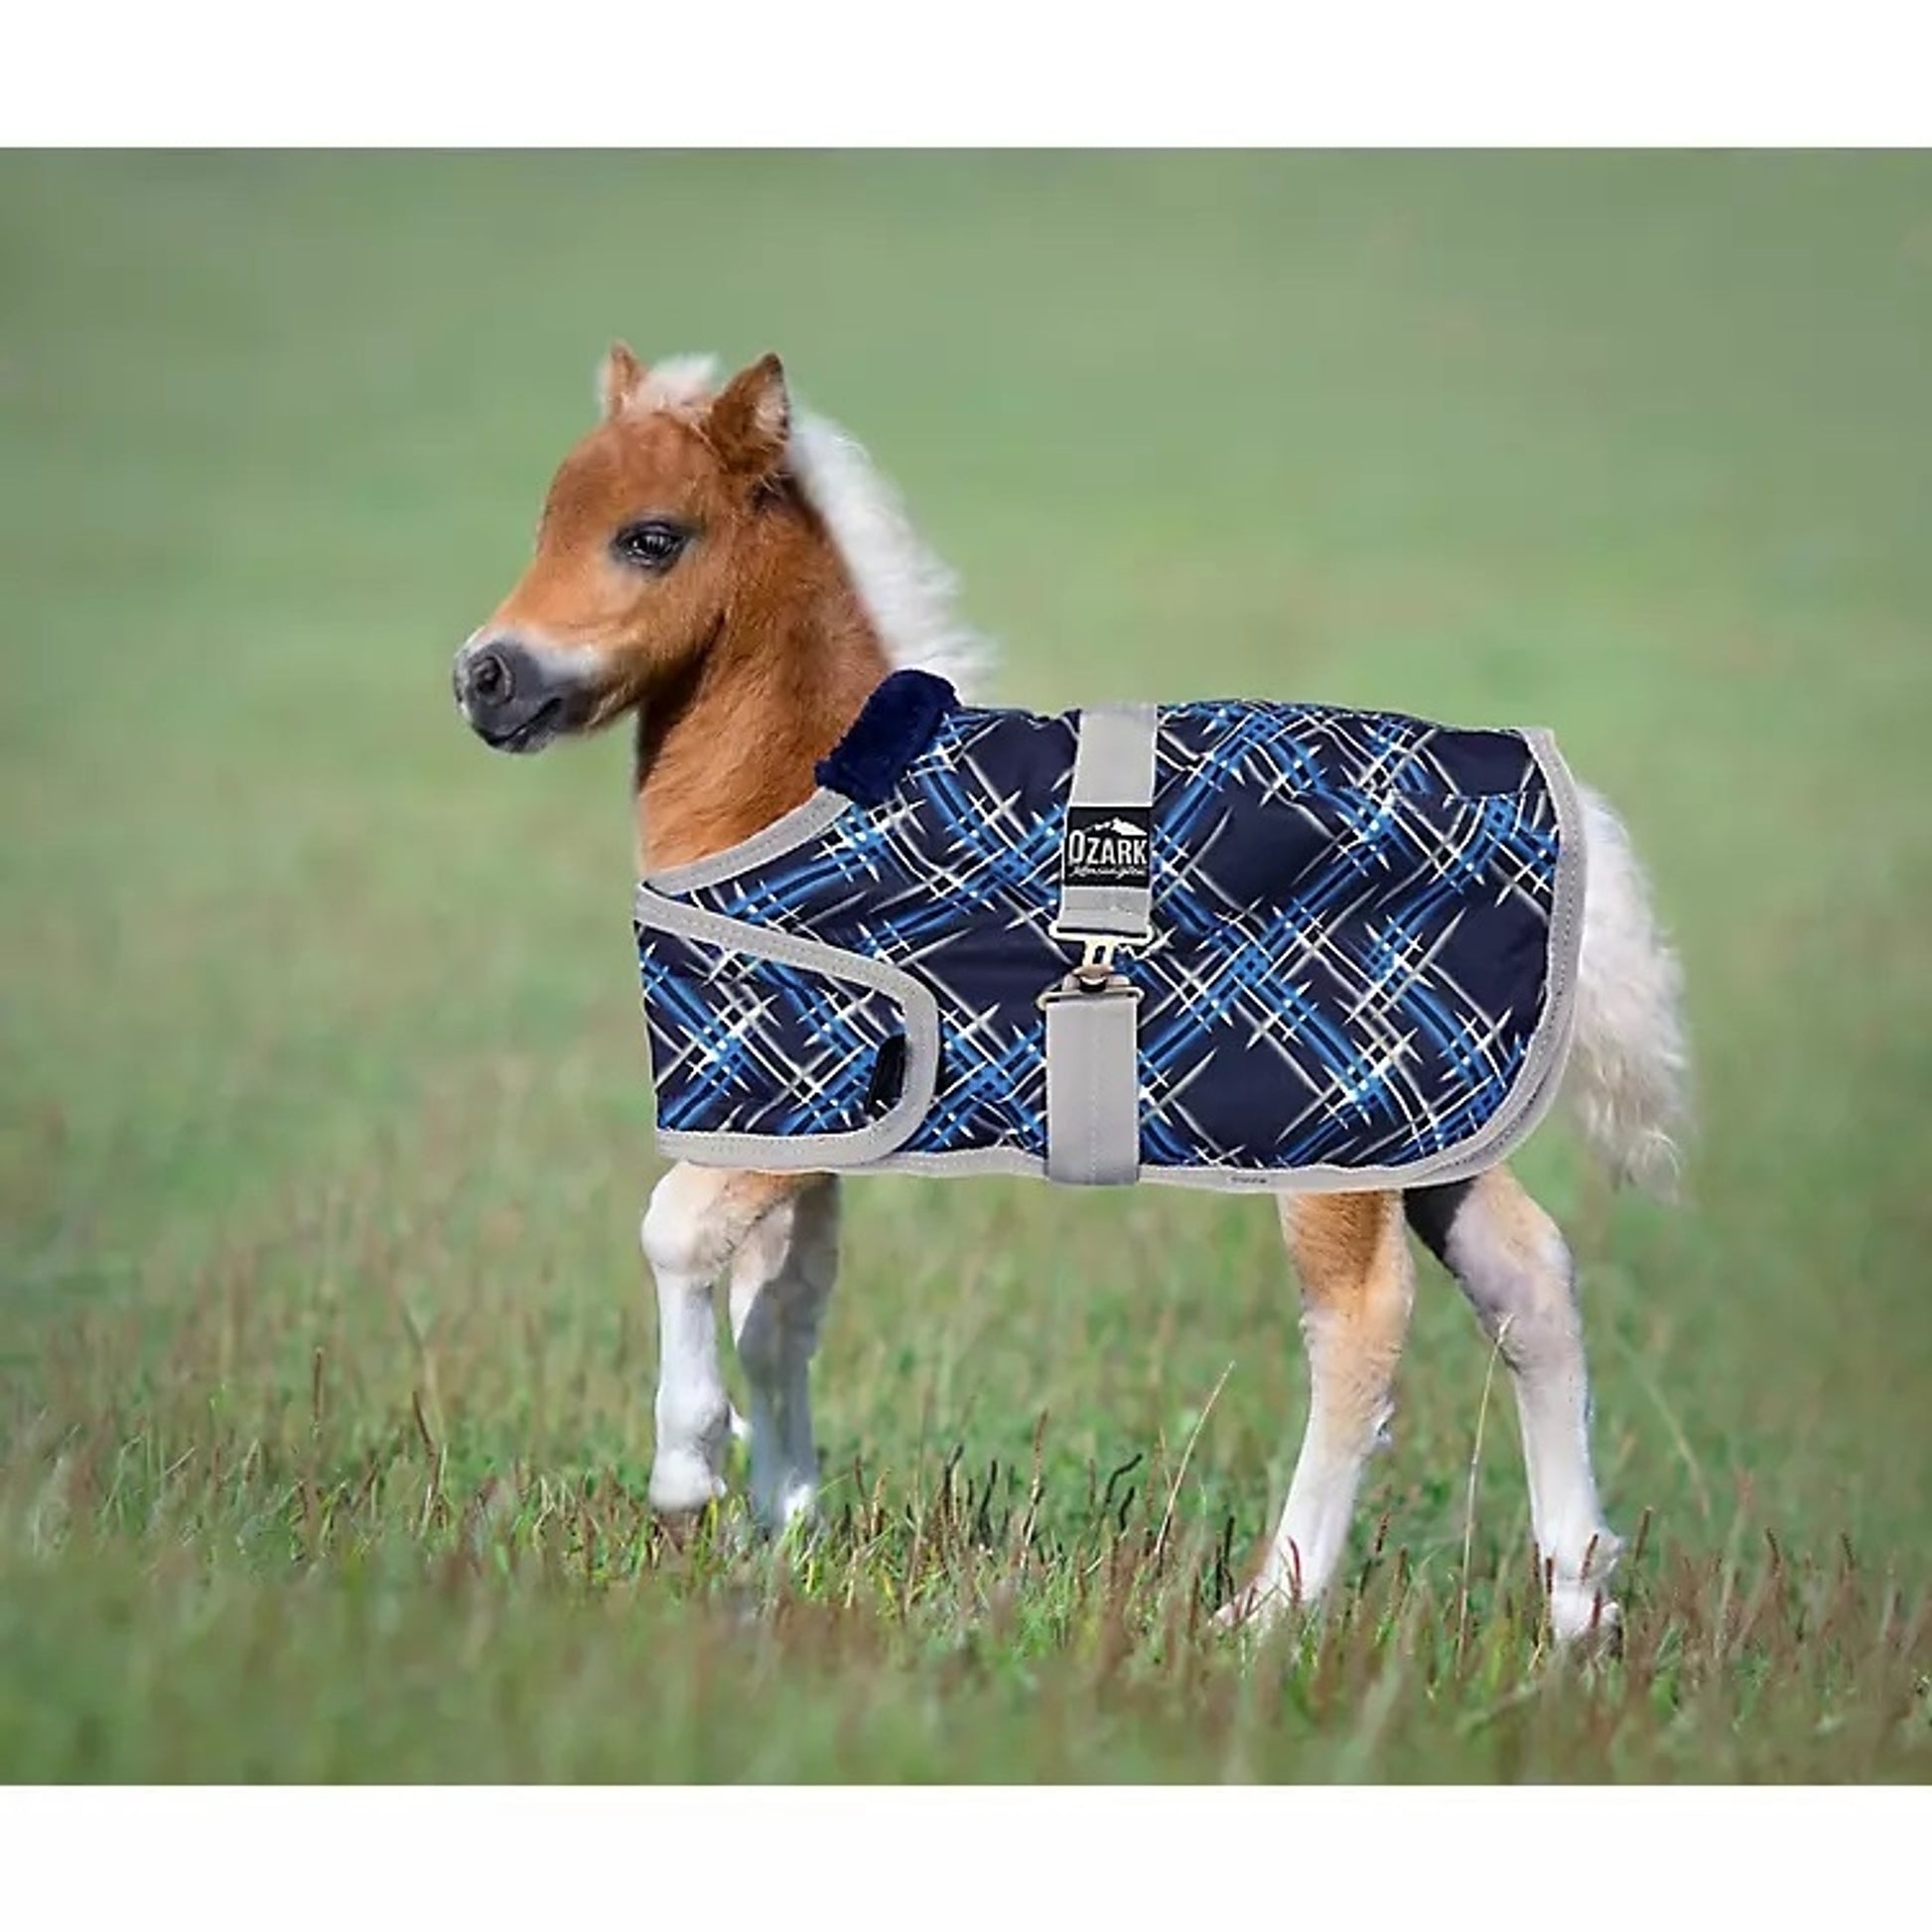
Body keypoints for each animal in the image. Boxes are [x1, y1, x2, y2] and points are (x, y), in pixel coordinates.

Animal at [451, 346, 1689, 1642]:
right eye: (546, 521)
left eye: (650, 536)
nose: (485, 677)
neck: (802, 784)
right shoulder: (789, 1124)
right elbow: (779, 1306)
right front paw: (779, 1533)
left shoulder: (827, 1082)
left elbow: (676, 1231)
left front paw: (687, 1473)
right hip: (1433, 1124)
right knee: (1526, 1278)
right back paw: (1576, 1604)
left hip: (1332, 1130)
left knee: (1360, 1322)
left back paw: (1269, 1609)